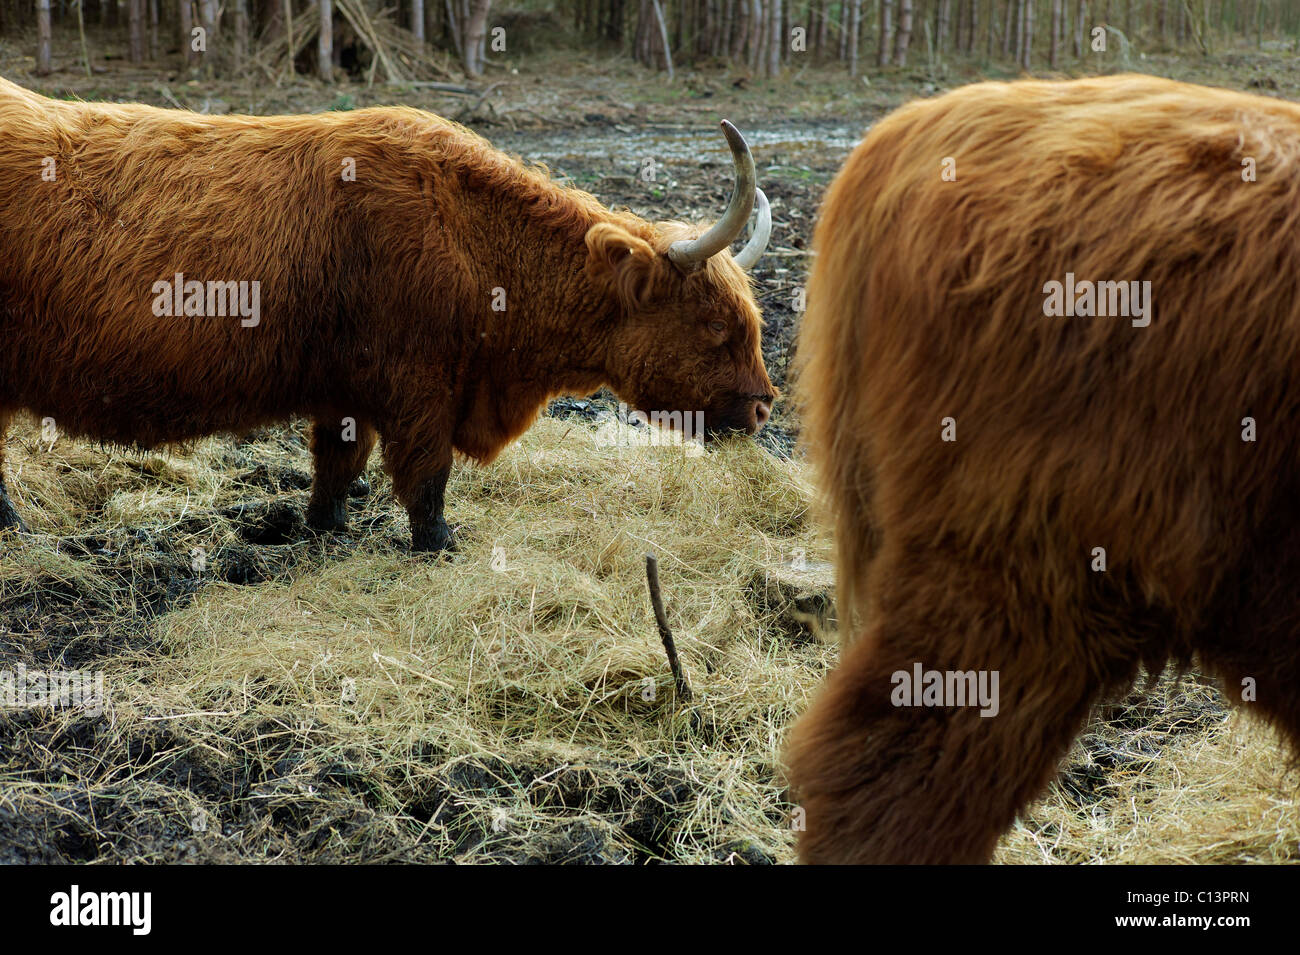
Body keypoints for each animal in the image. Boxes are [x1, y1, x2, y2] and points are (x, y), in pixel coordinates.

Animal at [0, 78, 775, 551]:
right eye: (715, 327)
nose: (764, 407)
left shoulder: (346, 391)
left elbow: (337, 466)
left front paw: (321, 530)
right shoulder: (419, 387)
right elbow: (425, 478)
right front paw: (440, 545)